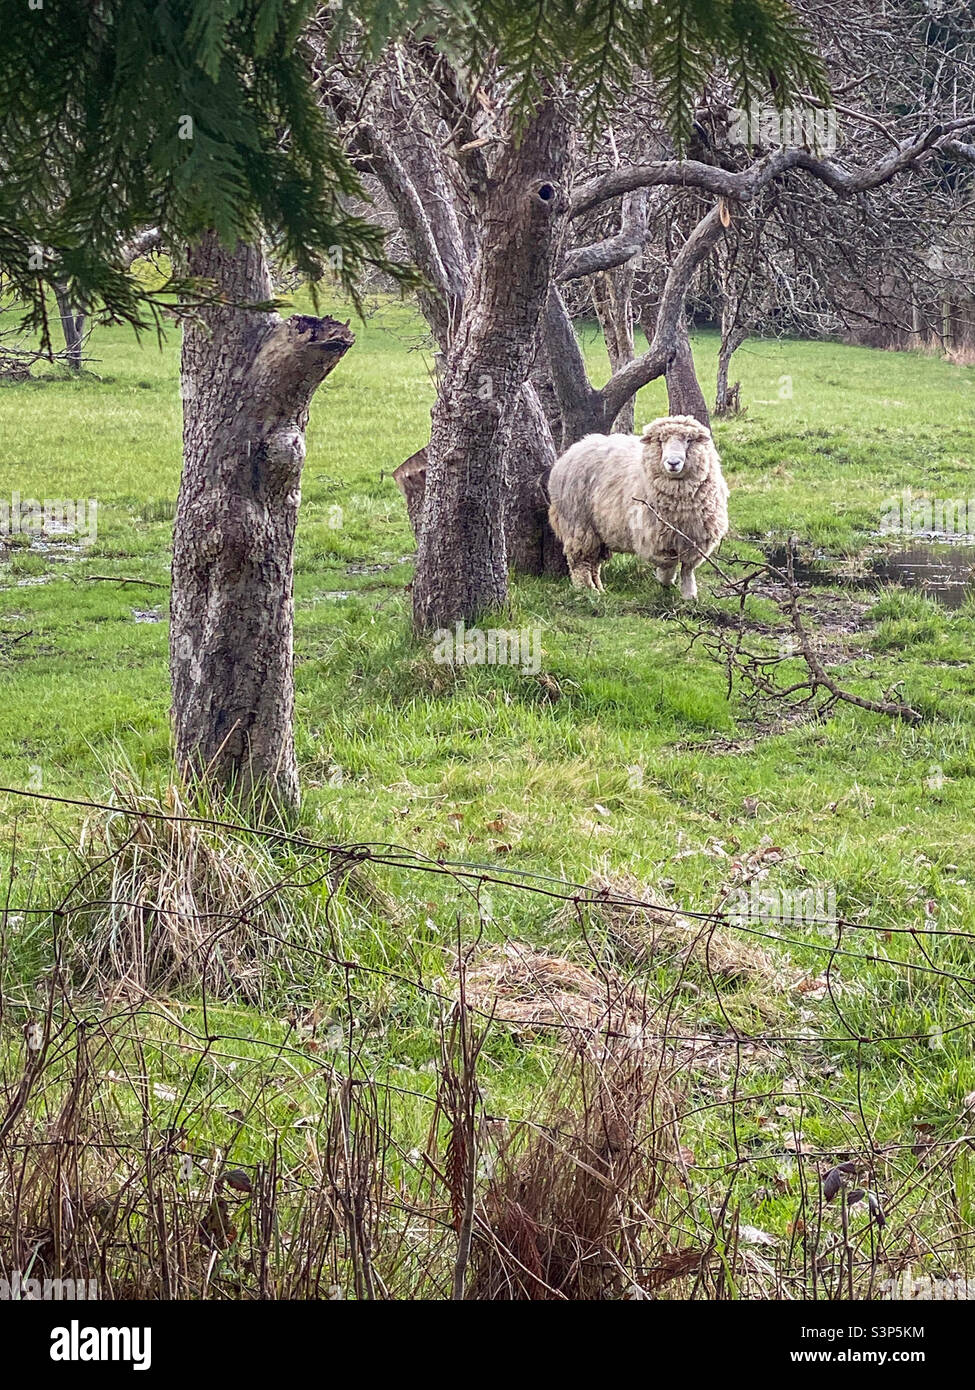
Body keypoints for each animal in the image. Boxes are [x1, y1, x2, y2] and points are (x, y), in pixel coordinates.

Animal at [547, 414, 728, 600]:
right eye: (660, 441)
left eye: (689, 440)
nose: (673, 463)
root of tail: (572, 451)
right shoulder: (656, 537)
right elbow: (669, 563)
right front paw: (665, 580)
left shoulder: (696, 539)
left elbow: (687, 569)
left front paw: (689, 595)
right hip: (579, 524)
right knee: (580, 562)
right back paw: (588, 591)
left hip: (598, 530)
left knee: (594, 564)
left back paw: (600, 589)